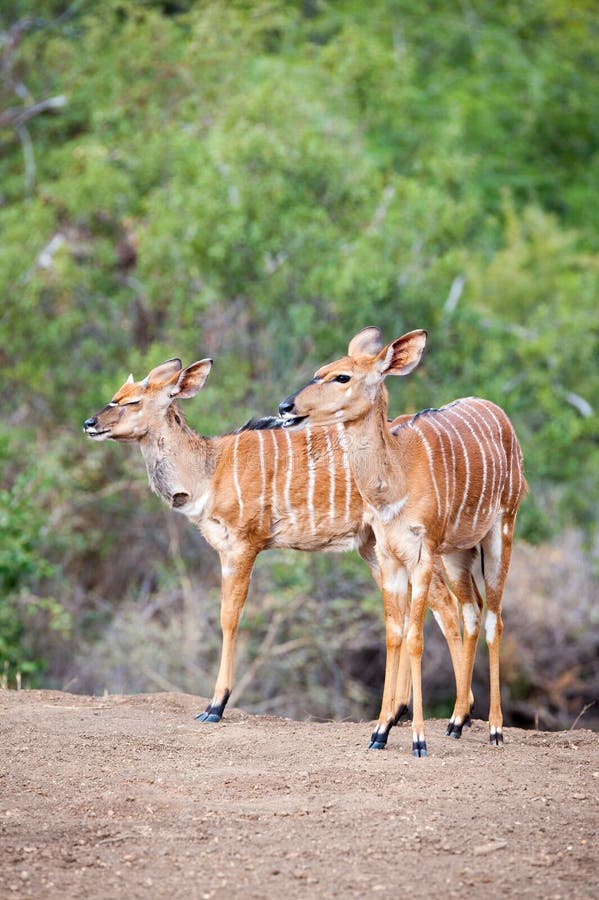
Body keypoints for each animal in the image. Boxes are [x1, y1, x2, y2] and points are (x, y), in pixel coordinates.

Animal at [83, 356, 466, 743]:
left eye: (133, 401)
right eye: (117, 394)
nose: (89, 423)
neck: (210, 470)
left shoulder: (244, 544)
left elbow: (229, 616)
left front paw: (215, 706)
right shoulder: (225, 549)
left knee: (447, 607)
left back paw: (456, 720)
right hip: (374, 549)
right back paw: (400, 713)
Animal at [279, 327, 526, 756]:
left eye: (342, 377)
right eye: (319, 371)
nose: (286, 406)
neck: (395, 478)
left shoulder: (421, 556)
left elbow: (414, 637)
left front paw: (417, 738)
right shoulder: (389, 557)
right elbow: (394, 634)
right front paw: (379, 731)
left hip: (500, 533)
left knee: (494, 619)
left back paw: (495, 729)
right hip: (459, 554)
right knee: (471, 613)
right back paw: (457, 722)